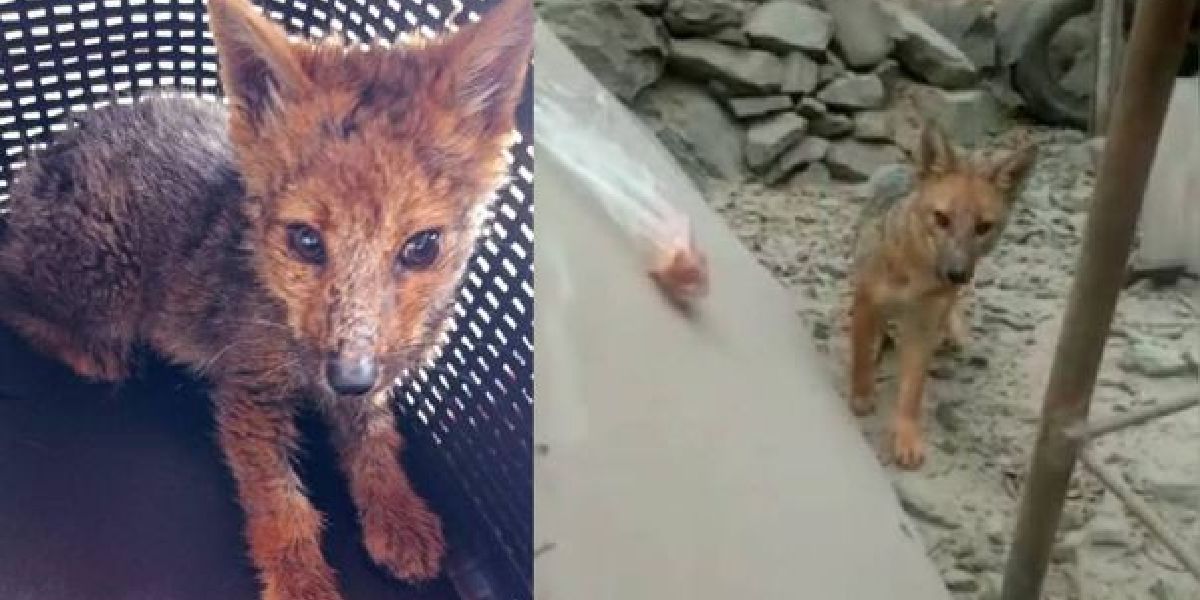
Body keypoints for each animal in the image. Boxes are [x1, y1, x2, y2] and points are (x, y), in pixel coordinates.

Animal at [0, 0, 532, 597]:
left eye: (422, 247)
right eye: (305, 240)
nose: (347, 378)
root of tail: (50, 150)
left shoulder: (366, 381)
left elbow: (377, 441)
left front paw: (398, 514)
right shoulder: (248, 390)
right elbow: (279, 499)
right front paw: (300, 577)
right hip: (108, 283)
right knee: (12, 291)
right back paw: (91, 351)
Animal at [847, 125, 1035, 469]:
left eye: (983, 227)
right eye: (942, 219)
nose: (957, 273)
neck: (916, 275)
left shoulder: (923, 327)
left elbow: (912, 392)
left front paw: (907, 438)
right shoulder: (867, 301)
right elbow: (861, 356)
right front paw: (862, 395)